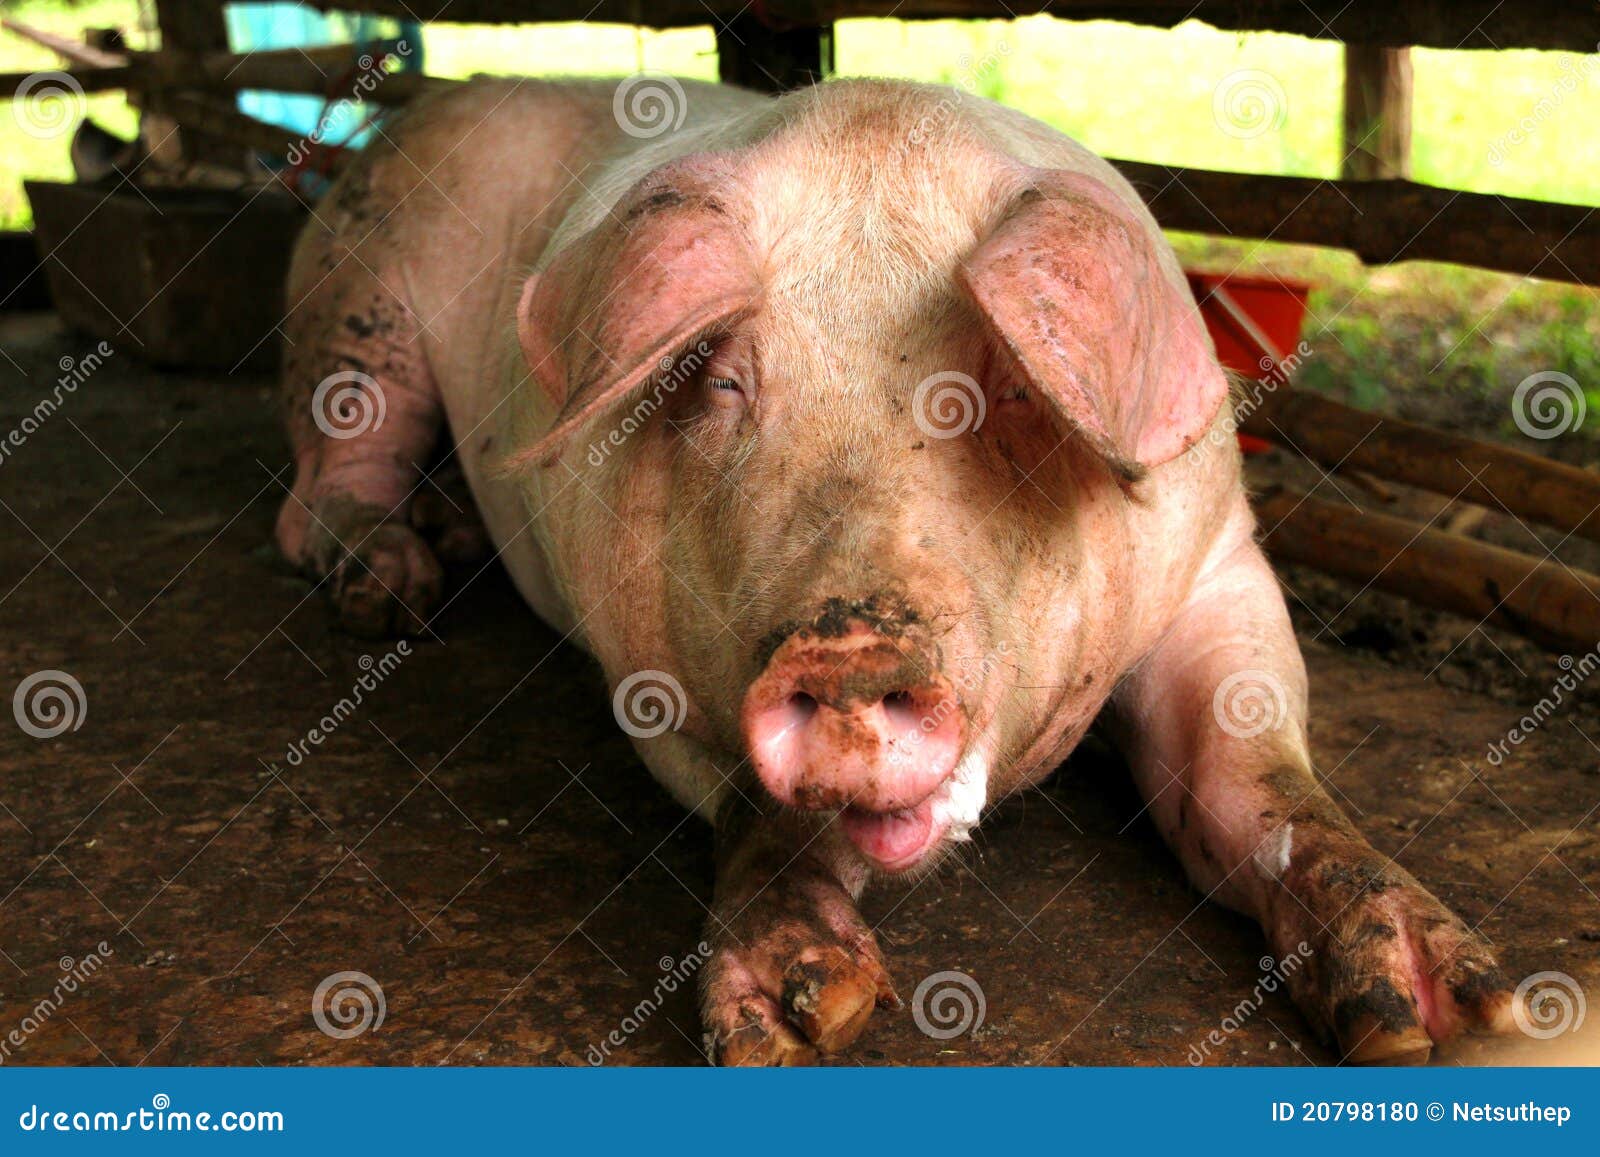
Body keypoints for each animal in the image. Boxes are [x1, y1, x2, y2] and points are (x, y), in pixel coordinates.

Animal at [274, 75, 1514, 1065]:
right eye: (723, 381)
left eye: (1006, 385)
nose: (850, 644)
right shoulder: (632, 660)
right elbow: (757, 809)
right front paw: (797, 1019)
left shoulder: (1218, 557)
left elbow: (1254, 771)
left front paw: (1451, 1017)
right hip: (355, 283)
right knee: (325, 469)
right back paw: (390, 586)